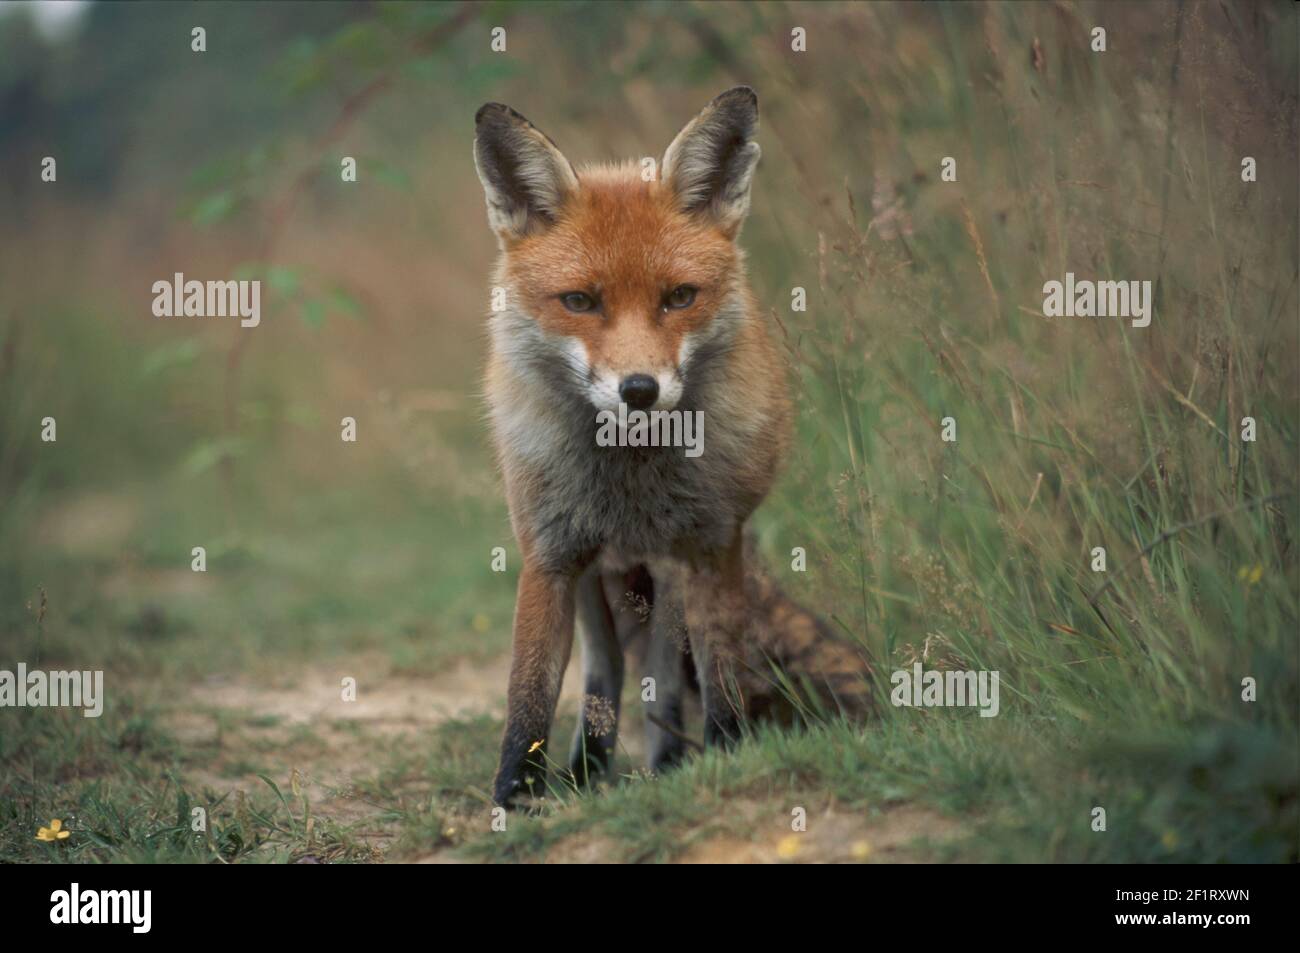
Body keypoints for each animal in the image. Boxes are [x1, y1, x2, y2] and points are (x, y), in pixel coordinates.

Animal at [473, 87, 869, 806]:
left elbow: (720, 675)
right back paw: (588, 770)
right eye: (580, 301)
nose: (639, 389)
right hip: (598, 576)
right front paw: (516, 795)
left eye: (680, 297)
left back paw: (664, 764)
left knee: (660, 676)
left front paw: (726, 759)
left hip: (665, 578)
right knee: (605, 672)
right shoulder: (549, 553)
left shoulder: (708, 546)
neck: (631, 475)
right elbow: (530, 691)